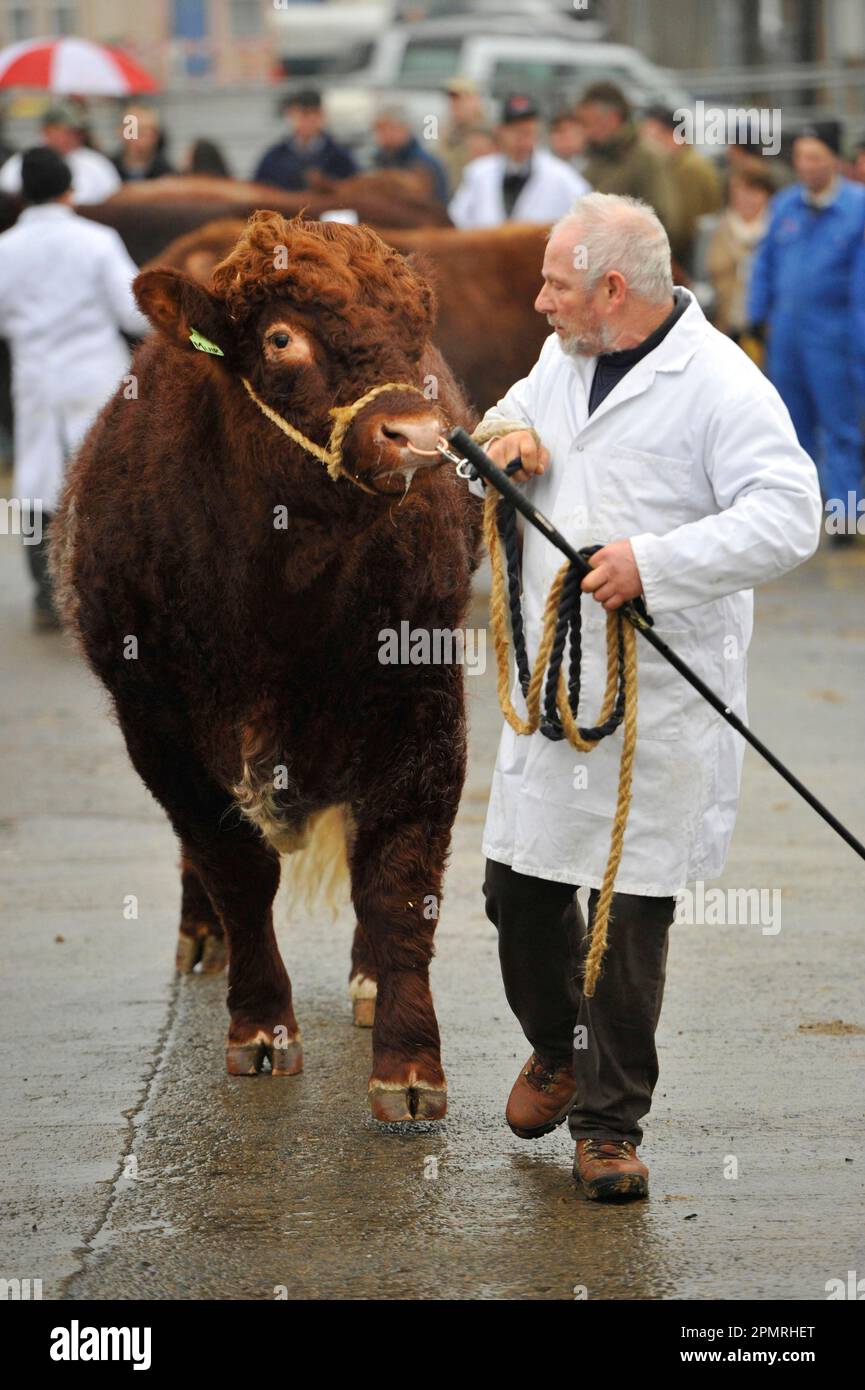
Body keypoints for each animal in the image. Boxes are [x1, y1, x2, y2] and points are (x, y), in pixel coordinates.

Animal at [51, 211, 482, 1124]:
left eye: (413, 334)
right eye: (282, 338)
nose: (418, 439)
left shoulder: (423, 703)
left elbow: (398, 873)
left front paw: (408, 1064)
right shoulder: (156, 722)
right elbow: (234, 867)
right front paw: (259, 1028)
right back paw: (199, 936)